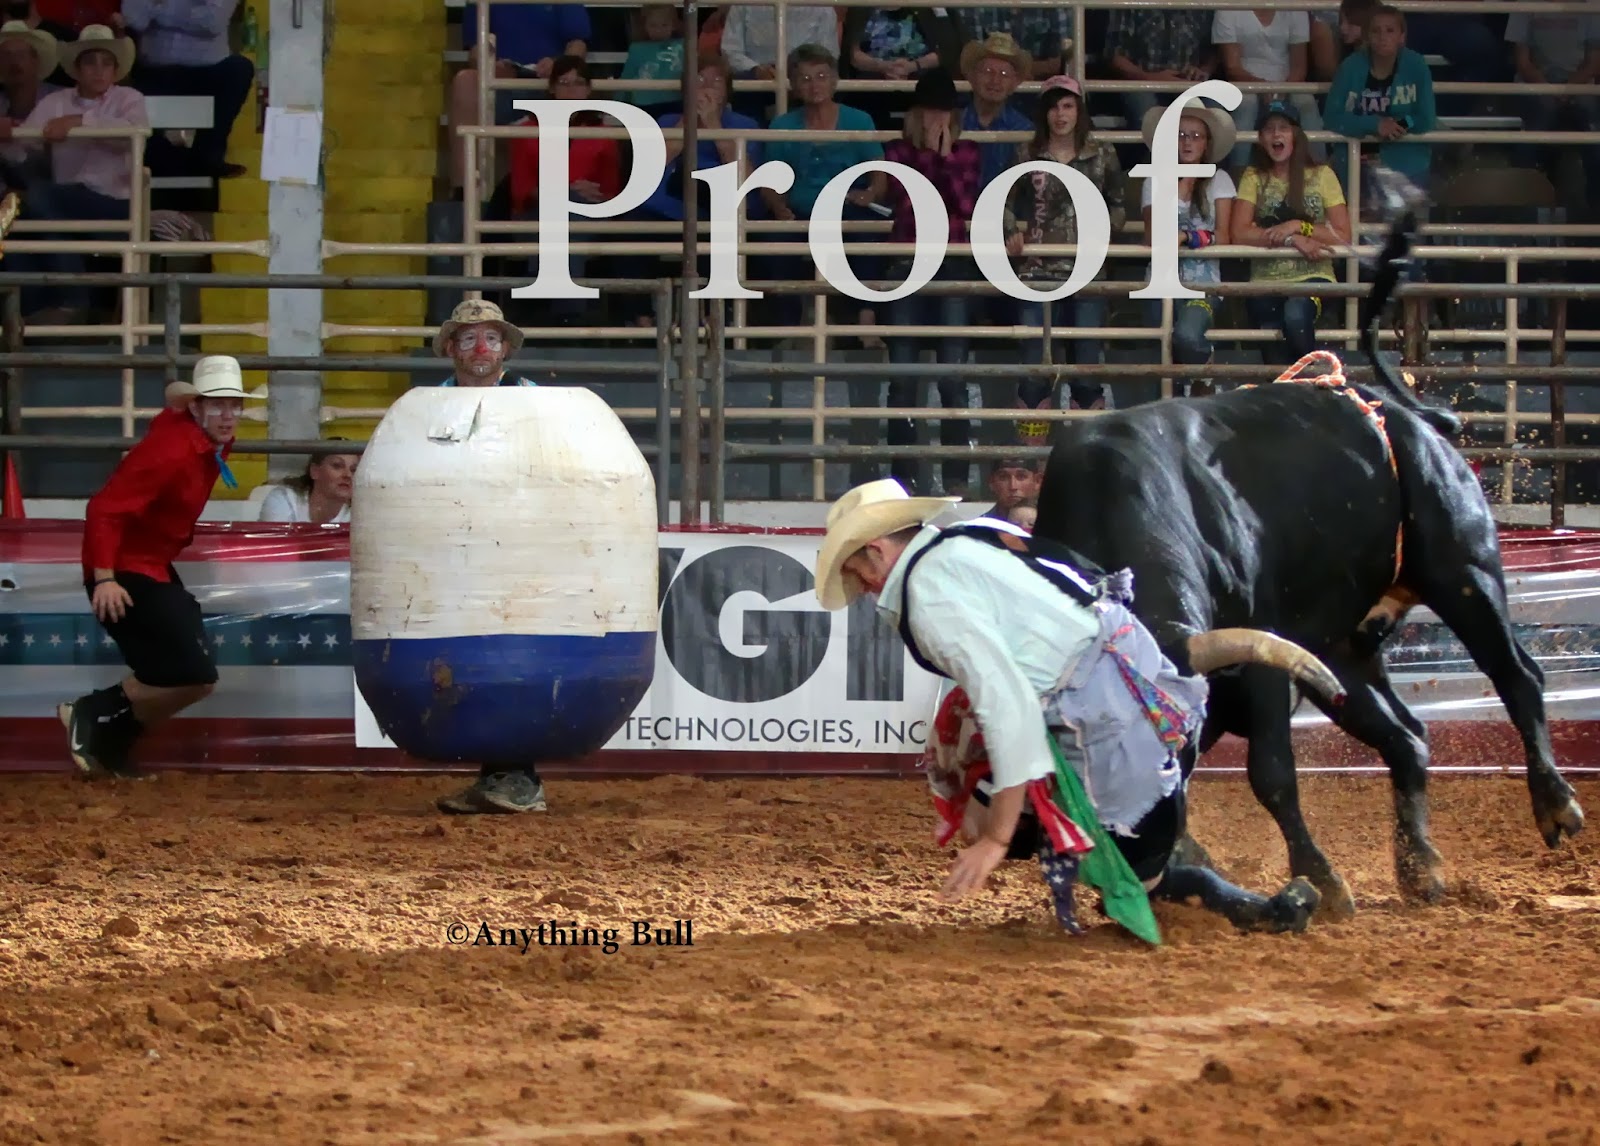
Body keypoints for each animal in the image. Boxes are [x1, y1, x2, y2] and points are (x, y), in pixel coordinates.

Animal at [1031, 212, 1585, 918]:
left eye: (1175, 742)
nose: (1139, 853)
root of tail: (1408, 416)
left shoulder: (1264, 664)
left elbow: (1271, 775)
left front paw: (1319, 878)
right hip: (1343, 648)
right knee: (1408, 738)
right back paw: (1419, 866)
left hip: (1465, 570)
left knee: (1519, 677)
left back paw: (1554, 803)